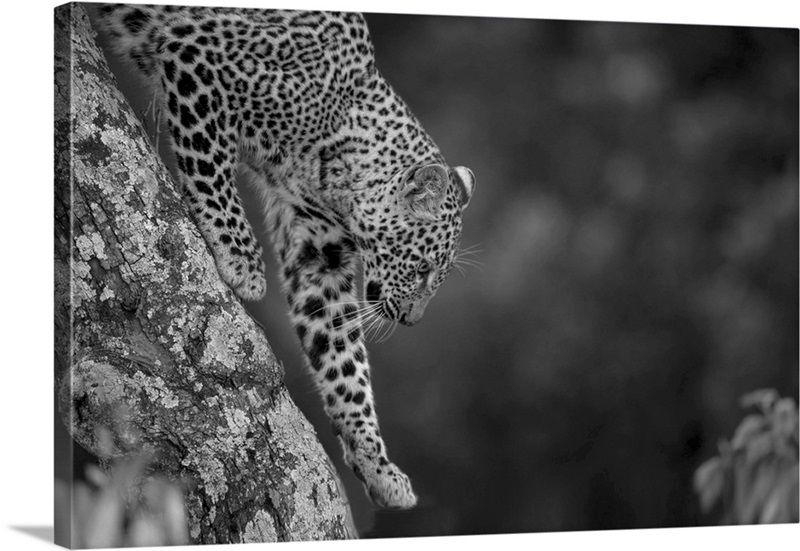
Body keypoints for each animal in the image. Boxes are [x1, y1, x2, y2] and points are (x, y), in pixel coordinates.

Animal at [95, 4, 476, 510]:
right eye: (421, 267)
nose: (412, 320)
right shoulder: (197, 57)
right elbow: (209, 163)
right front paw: (241, 260)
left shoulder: (320, 253)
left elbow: (342, 359)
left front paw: (377, 466)